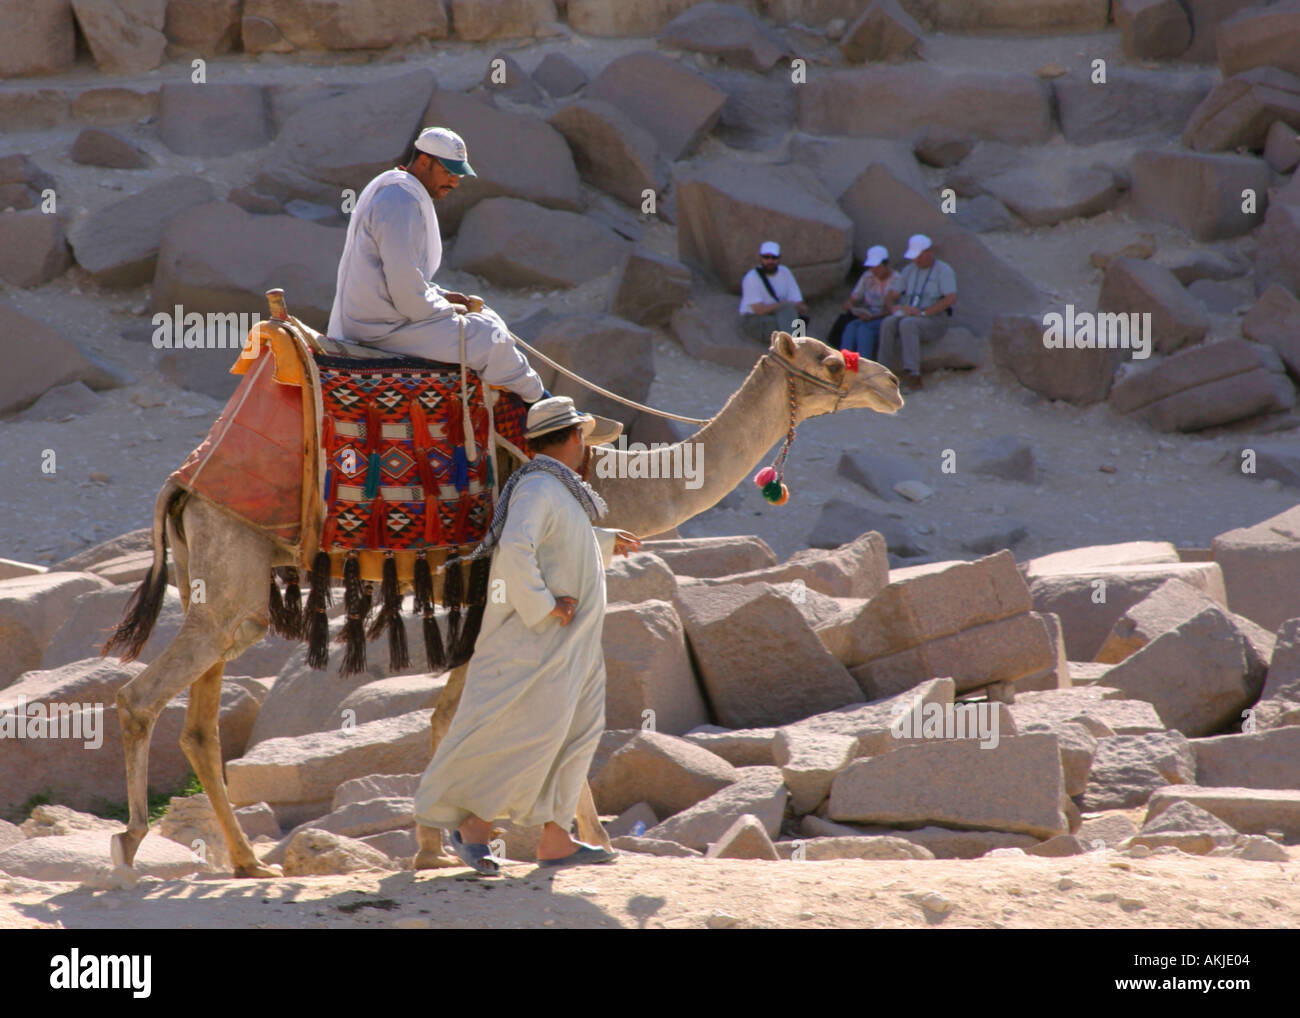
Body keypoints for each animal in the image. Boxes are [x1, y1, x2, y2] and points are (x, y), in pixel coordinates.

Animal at [105, 328, 902, 877]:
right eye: (830, 359)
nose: (892, 383)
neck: (610, 477)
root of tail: (180, 483)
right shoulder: (518, 586)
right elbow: (530, 713)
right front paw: (576, 841)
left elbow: (451, 716)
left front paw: (444, 846)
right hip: (231, 570)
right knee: (142, 699)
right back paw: (131, 843)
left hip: (221, 585)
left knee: (200, 723)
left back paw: (247, 861)